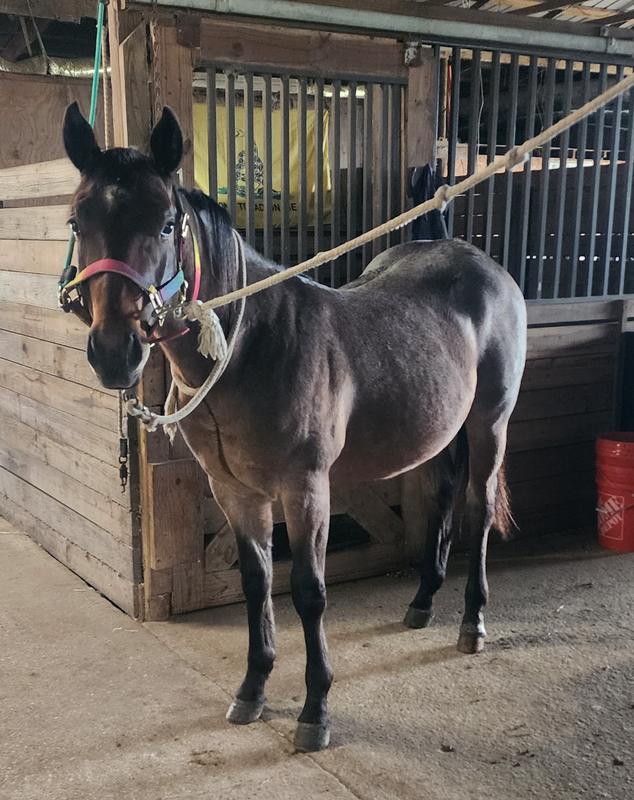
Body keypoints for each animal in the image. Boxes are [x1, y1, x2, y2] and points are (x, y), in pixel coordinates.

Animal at [62, 102, 527, 752]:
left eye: (166, 224)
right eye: (78, 222)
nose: (113, 352)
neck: (253, 346)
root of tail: (478, 261)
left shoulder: (304, 490)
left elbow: (308, 591)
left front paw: (315, 711)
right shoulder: (235, 491)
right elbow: (258, 583)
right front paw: (252, 691)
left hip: (489, 423)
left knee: (479, 510)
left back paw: (472, 622)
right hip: (439, 431)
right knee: (441, 497)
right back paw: (422, 602)